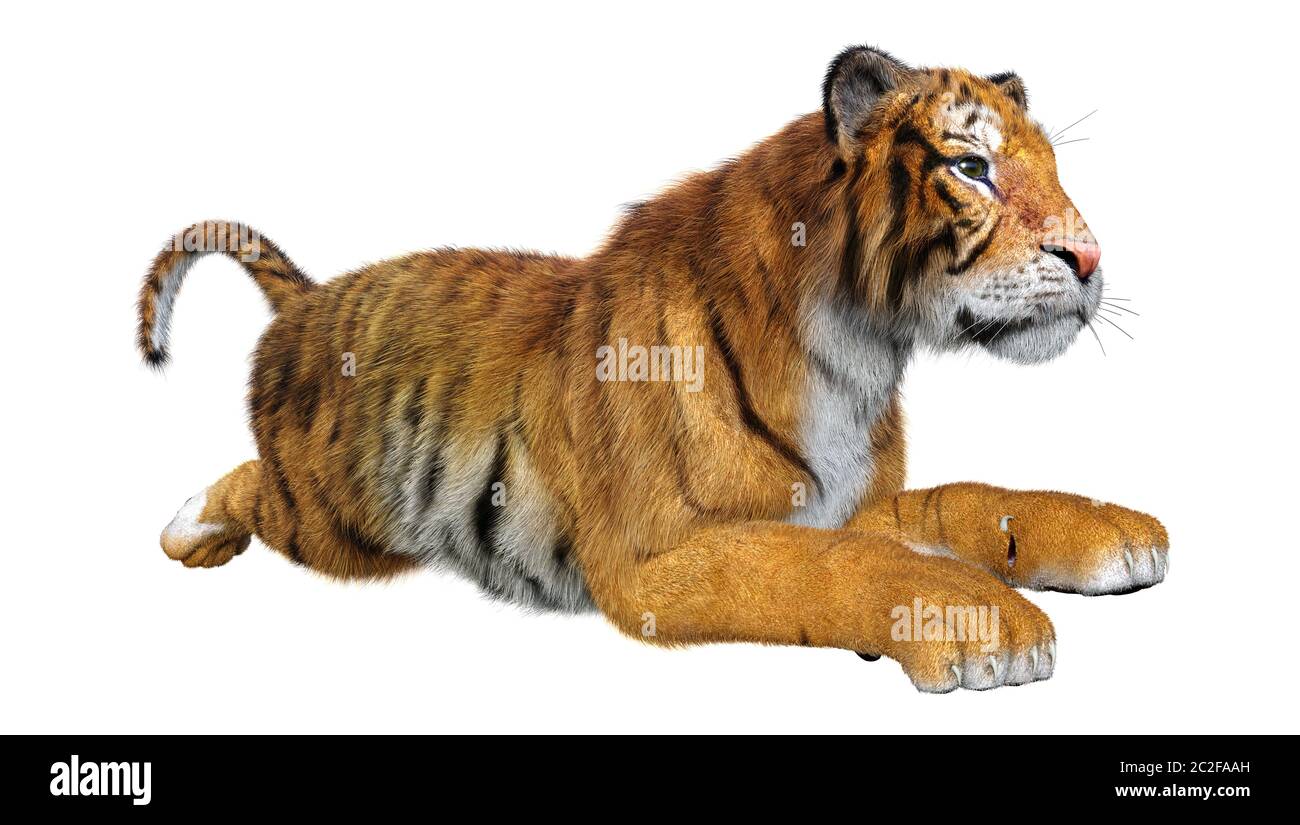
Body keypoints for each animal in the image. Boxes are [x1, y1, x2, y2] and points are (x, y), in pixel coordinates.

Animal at [137, 45, 1168, 692]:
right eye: (972, 167)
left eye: (1050, 165)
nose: (1091, 257)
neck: (862, 348)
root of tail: (309, 300)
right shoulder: (654, 558)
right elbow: (829, 565)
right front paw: (984, 620)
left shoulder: (855, 499)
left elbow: (967, 502)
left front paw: (1113, 531)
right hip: (335, 517)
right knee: (252, 486)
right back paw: (188, 529)